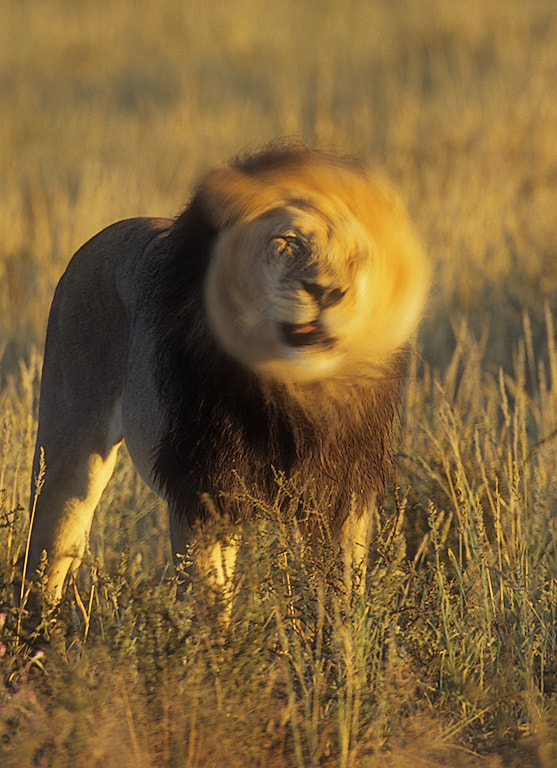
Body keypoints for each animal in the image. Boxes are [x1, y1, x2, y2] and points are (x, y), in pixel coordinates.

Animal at [28, 146, 430, 604]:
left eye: (358, 257)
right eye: (291, 242)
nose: (327, 293)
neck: (291, 391)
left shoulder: (340, 499)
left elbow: (341, 594)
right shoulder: (200, 495)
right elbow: (210, 603)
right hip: (69, 461)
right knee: (47, 560)